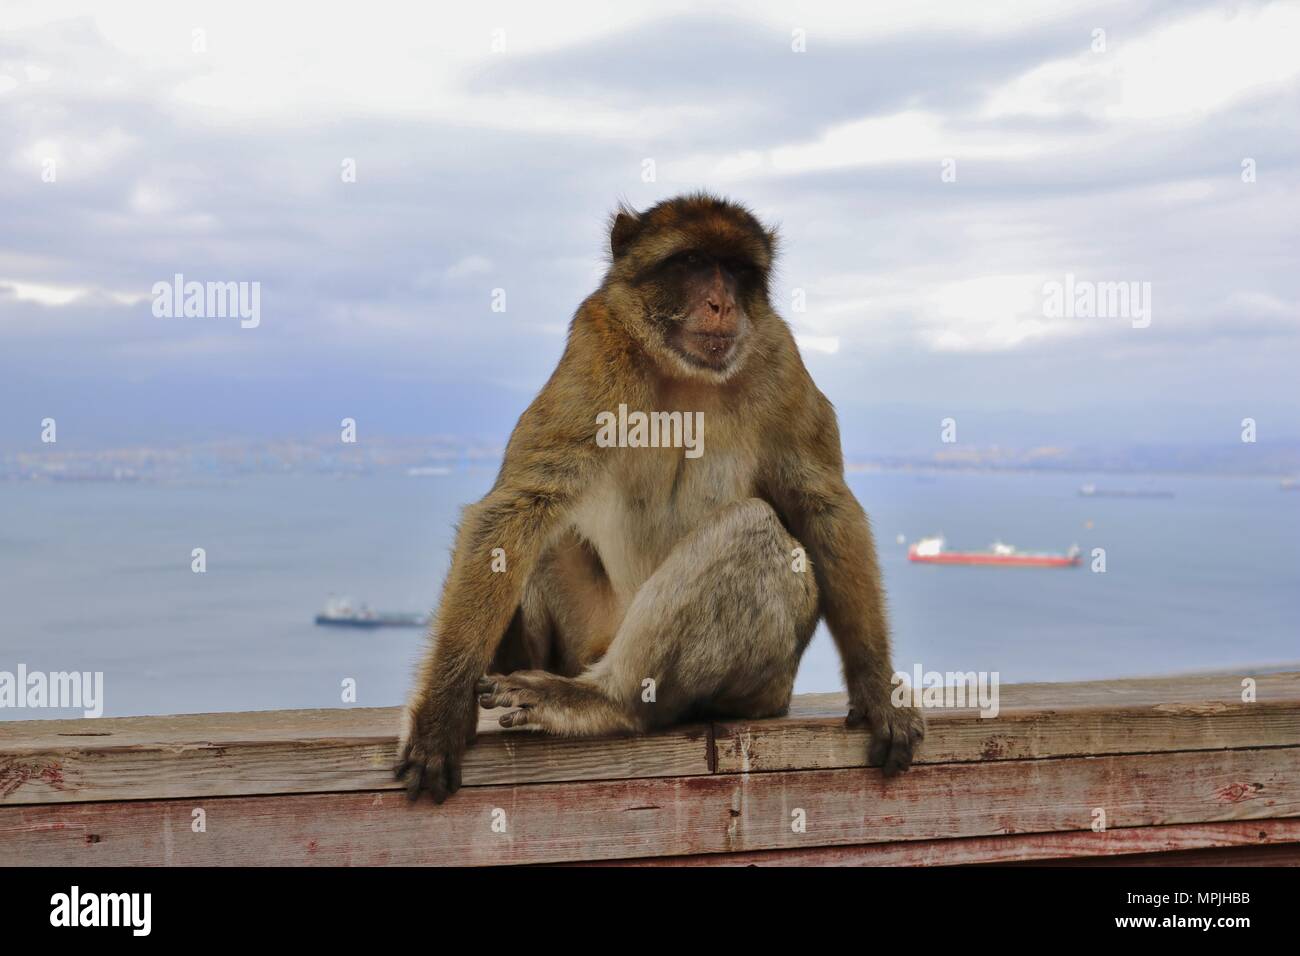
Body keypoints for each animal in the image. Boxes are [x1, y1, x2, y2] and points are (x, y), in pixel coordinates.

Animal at [396, 192, 924, 802]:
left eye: (737, 270)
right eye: (692, 262)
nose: (722, 303)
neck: (682, 371)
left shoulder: (778, 357)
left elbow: (823, 506)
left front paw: (878, 691)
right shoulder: (595, 343)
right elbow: (518, 509)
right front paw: (441, 713)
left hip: (765, 685)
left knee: (752, 529)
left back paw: (611, 701)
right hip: (590, 634)